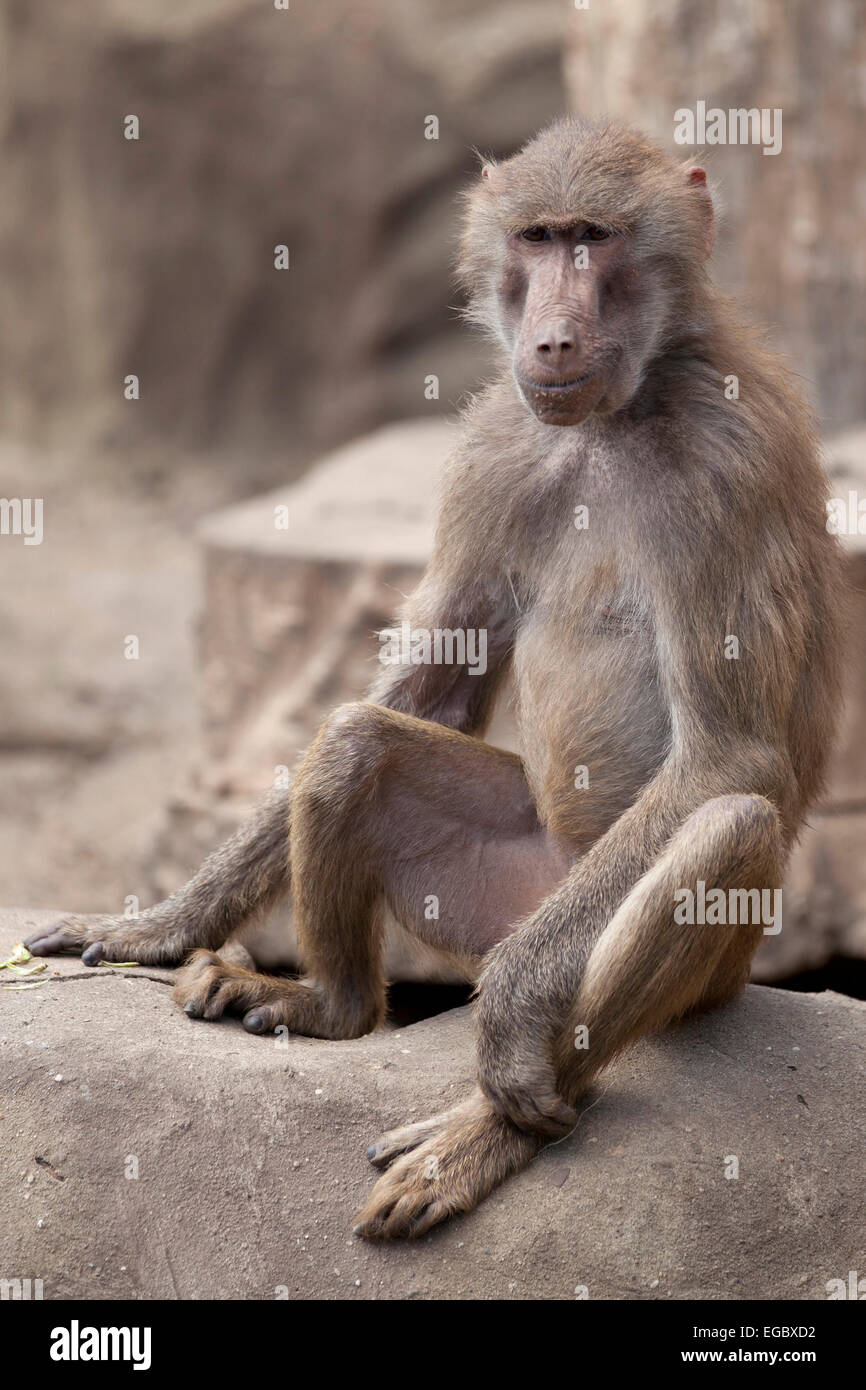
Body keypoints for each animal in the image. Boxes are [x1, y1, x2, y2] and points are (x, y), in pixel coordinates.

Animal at [27, 117, 845, 1240]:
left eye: (594, 239)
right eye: (539, 238)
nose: (550, 339)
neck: (620, 411)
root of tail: (552, 879)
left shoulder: (726, 460)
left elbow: (730, 754)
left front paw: (506, 1026)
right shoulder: (495, 445)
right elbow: (427, 688)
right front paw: (152, 925)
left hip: (698, 952)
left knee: (727, 827)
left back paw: (488, 1127)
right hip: (495, 888)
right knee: (353, 742)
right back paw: (327, 1007)